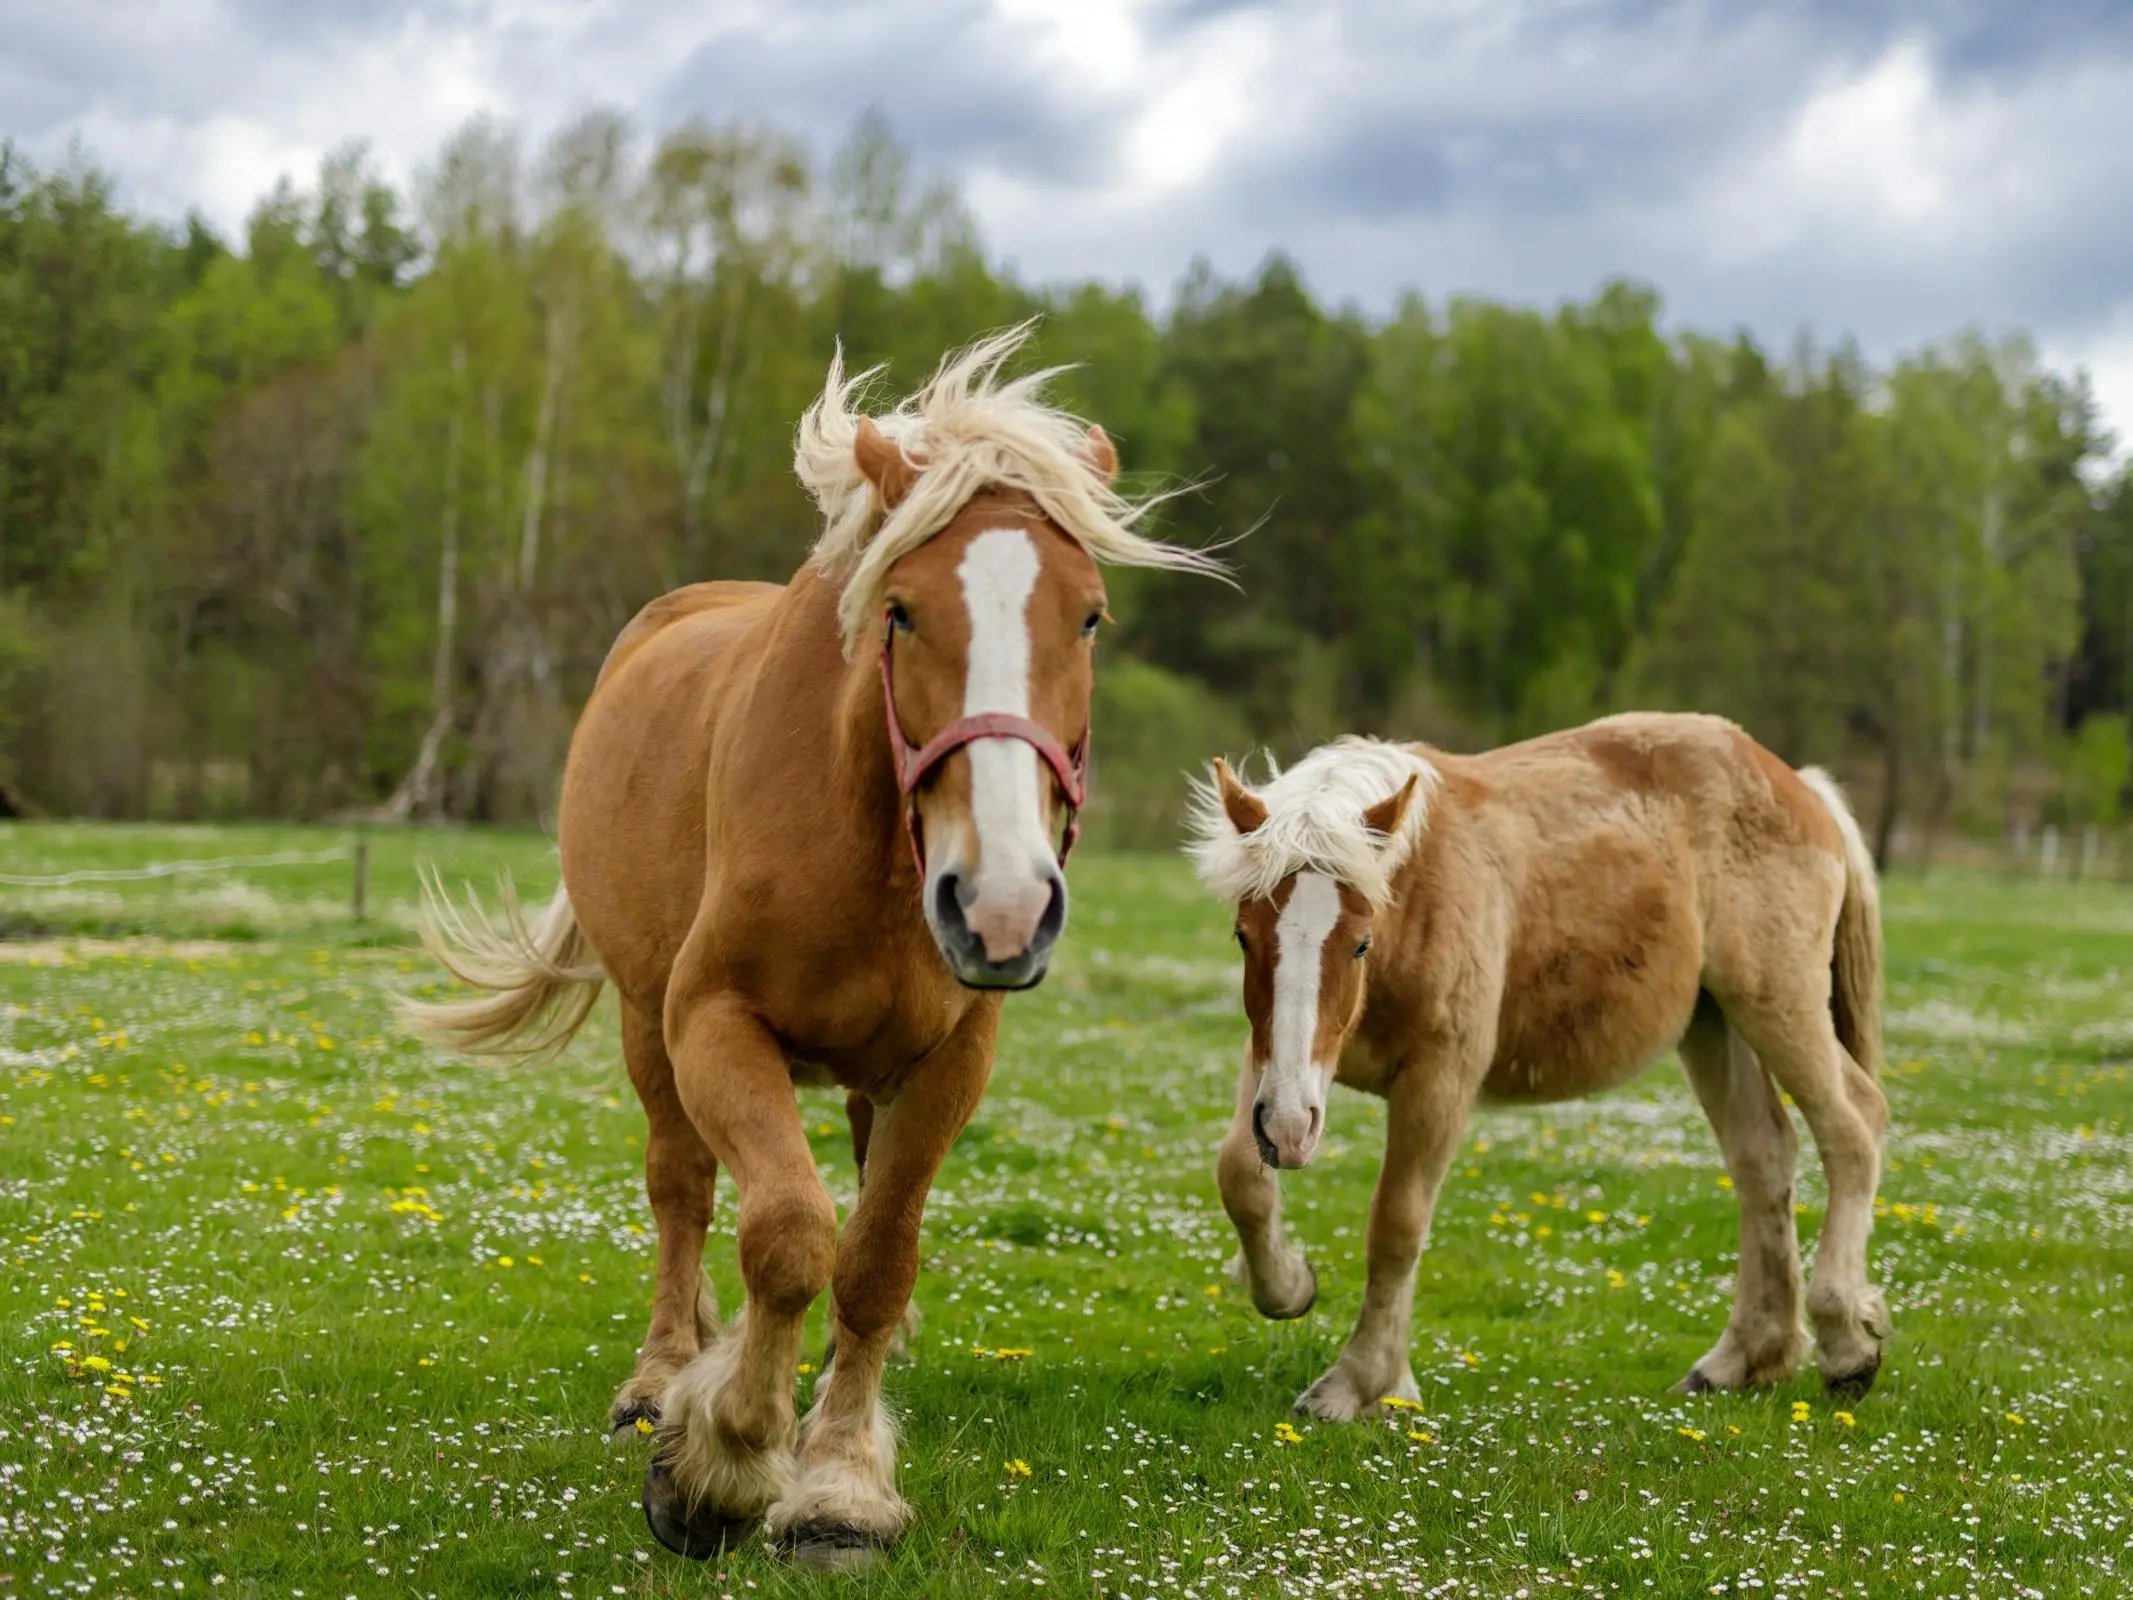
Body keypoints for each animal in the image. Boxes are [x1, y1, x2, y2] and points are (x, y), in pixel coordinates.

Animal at [401, 324, 1219, 1566]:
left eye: (1087, 616)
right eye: (904, 611)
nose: (1003, 904)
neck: (866, 847)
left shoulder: (950, 1062)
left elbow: (875, 1259)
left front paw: (839, 1478)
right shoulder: (714, 1022)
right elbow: (783, 1231)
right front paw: (720, 1459)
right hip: (645, 1022)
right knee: (682, 1186)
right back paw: (663, 1373)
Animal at [1186, 714, 1890, 1420]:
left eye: (1361, 943)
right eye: (1244, 937)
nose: (1289, 1132)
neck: (1419, 895)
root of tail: (1797, 783)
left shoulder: (1438, 1079)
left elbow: (1397, 1223)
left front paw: (1359, 1384)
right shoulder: (1278, 1066)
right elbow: (1240, 1178)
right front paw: (1289, 1284)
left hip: (1777, 1003)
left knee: (1853, 1128)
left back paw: (1846, 1346)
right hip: (1714, 1023)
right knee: (1763, 1157)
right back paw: (1742, 1360)